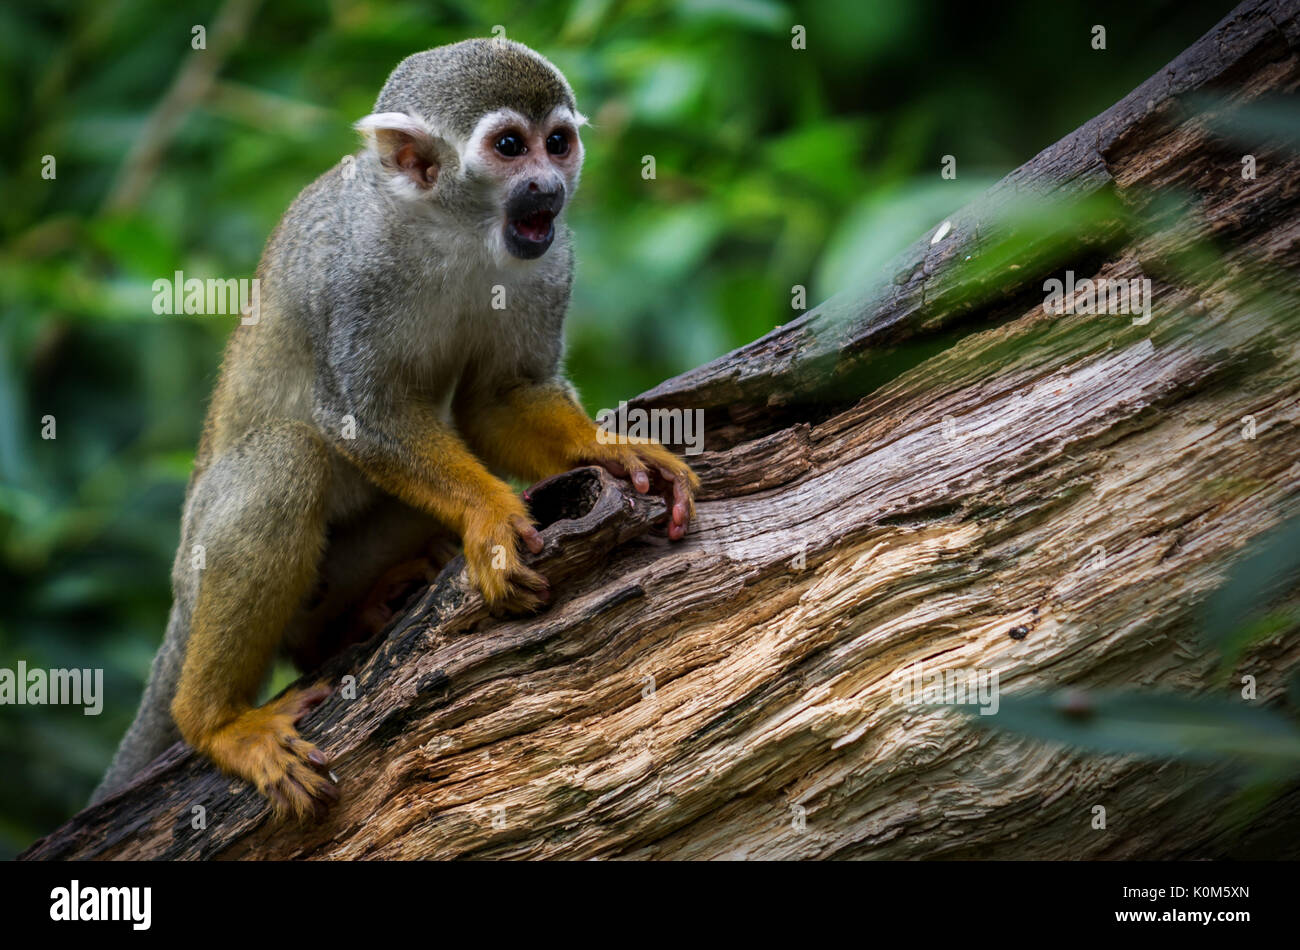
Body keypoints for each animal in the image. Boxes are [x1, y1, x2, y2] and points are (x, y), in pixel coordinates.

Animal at [91, 38, 698, 820]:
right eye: (510, 147)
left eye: (558, 142)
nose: (547, 185)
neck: (456, 228)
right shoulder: (360, 270)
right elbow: (358, 415)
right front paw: (490, 519)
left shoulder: (554, 256)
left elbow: (498, 401)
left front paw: (611, 452)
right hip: (192, 566)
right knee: (284, 459)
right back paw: (216, 721)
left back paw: (355, 615)